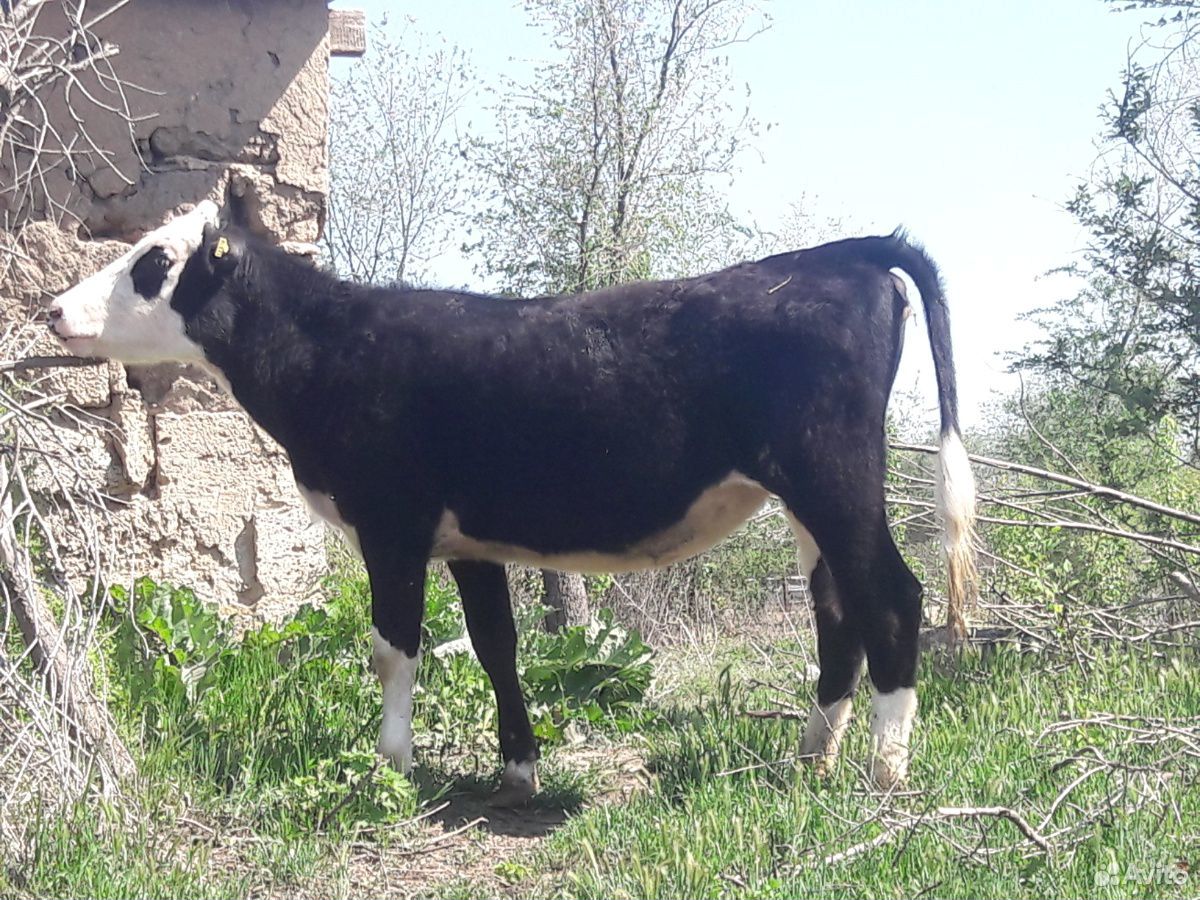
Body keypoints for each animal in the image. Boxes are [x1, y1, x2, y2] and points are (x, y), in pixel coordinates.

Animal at [47, 199, 976, 805]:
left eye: (152, 263)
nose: (54, 309)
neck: (336, 348)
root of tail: (844, 253)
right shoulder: (468, 542)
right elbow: (497, 645)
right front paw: (518, 769)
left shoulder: (391, 523)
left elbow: (394, 650)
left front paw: (390, 766)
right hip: (805, 497)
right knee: (836, 611)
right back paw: (810, 757)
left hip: (835, 478)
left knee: (894, 598)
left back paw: (885, 774)